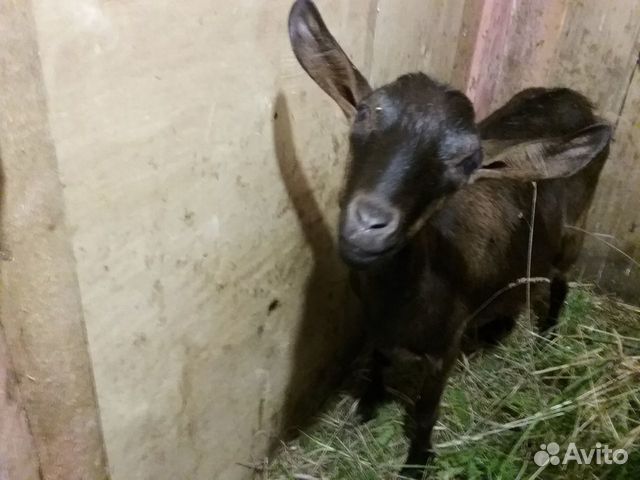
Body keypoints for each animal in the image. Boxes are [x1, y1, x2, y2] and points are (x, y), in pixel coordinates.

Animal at [287, 0, 611, 476]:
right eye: (364, 113)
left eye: (467, 161)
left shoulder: (445, 344)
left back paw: (547, 337)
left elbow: (426, 411)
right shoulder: (376, 325)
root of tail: (573, 97)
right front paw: (367, 406)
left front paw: (417, 461)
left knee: (560, 281)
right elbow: (377, 362)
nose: (369, 222)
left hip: (575, 232)